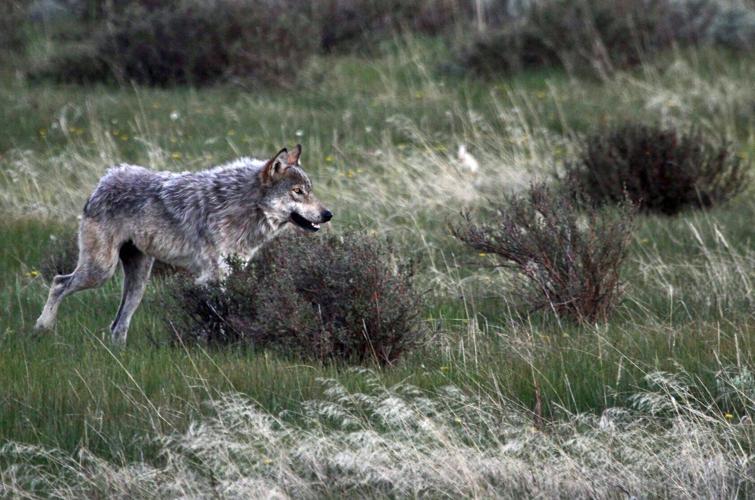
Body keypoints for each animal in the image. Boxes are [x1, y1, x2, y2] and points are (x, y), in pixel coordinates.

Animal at [34, 144, 332, 344]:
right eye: (297, 192)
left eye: (310, 191)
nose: (328, 214)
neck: (244, 206)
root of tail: (106, 178)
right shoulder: (215, 275)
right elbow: (218, 312)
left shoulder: (233, 270)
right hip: (100, 271)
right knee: (59, 282)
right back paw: (42, 327)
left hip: (138, 282)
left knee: (117, 324)